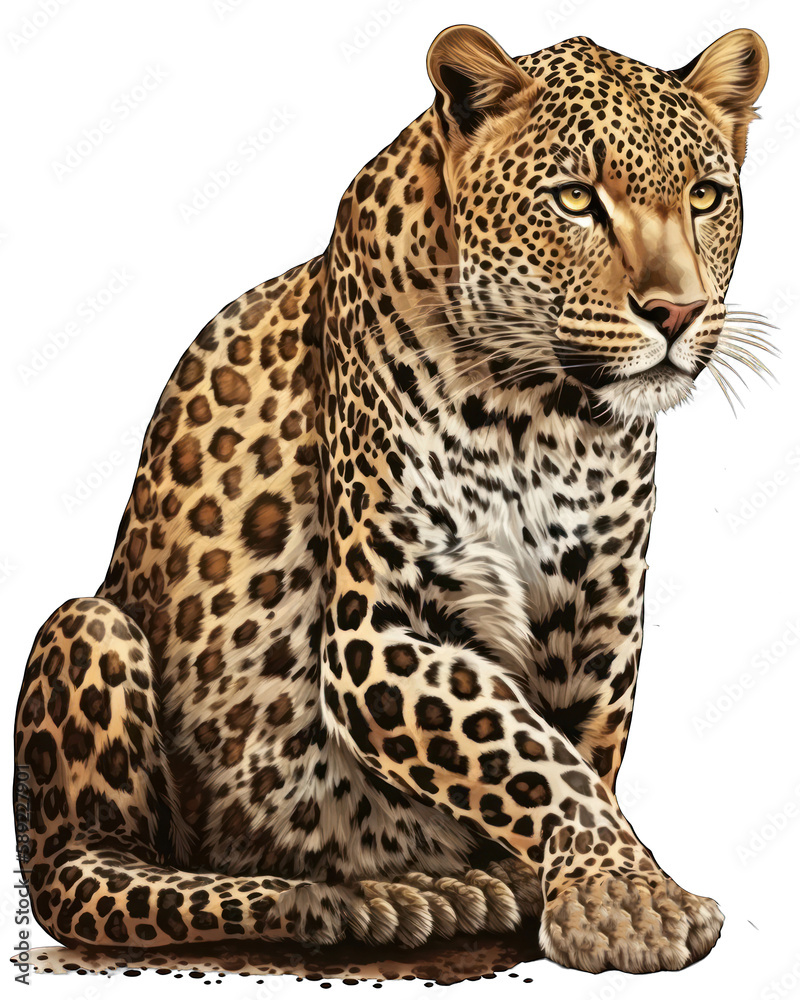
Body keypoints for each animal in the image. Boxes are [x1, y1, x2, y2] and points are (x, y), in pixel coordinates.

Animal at [14, 24, 771, 975]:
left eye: (706, 195)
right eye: (574, 199)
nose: (677, 312)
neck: (550, 415)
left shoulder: (597, 614)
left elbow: (574, 754)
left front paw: (569, 885)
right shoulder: (378, 624)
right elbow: (527, 755)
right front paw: (624, 899)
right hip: (89, 632)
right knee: (94, 876)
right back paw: (374, 900)